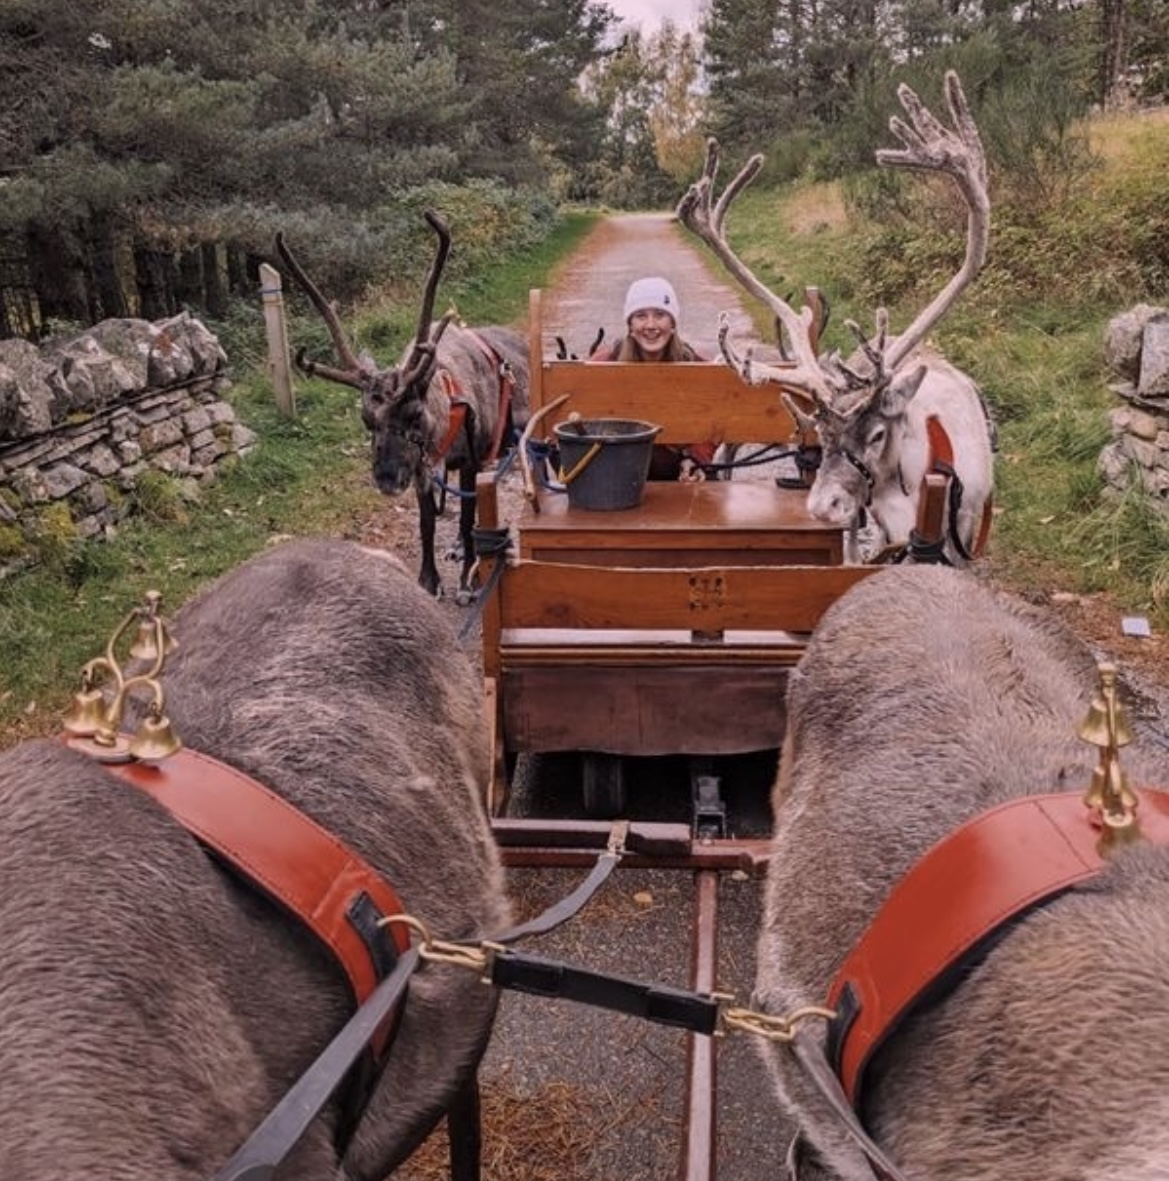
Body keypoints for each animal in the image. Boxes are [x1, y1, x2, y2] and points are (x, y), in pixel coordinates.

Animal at [276, 213, 530, 602]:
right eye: (367, 420)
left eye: (413, 414)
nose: (386, 478)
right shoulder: (422, 469)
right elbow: (427, 523)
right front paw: (429, 579)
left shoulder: (470, 460)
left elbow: (467, 513)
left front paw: (467, 580)